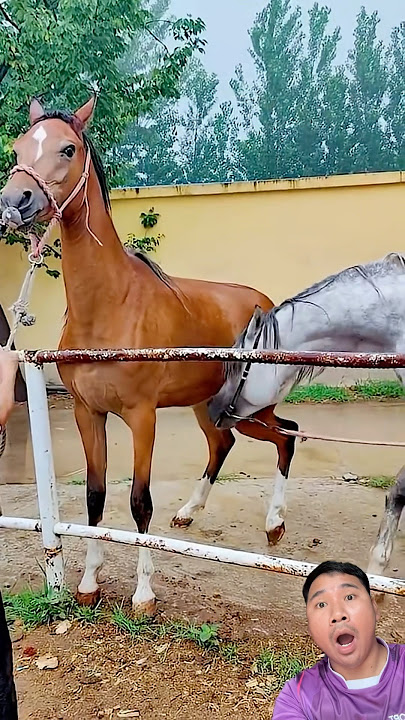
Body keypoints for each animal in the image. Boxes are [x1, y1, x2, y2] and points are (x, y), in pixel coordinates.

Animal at [0, 96, 300, 613]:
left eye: (67, 148)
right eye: (19, 147)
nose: (14, 202)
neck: (109, 308)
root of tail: (265, 303)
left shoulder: (142, 416)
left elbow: (140, 501)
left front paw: (143, 594)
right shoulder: (88, 413)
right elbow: (96, 496)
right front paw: (89, 583)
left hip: (253, 409)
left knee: (287, 437)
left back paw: (274, 524)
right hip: (211, 405)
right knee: (224, 445)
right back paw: (189, 512)